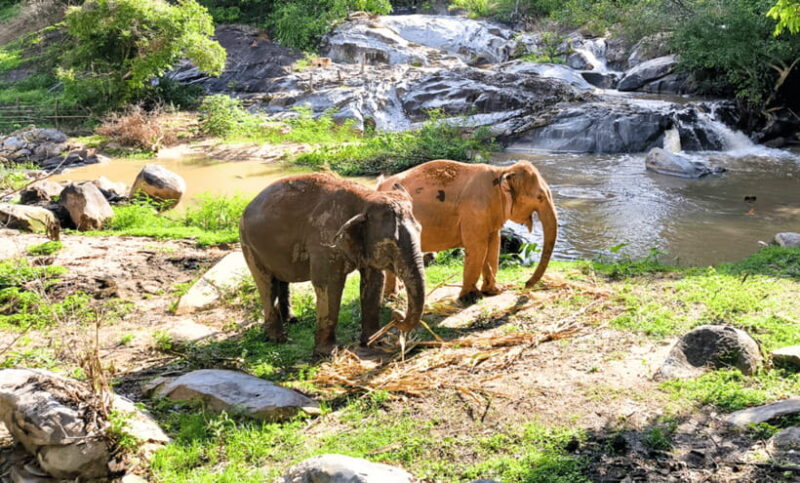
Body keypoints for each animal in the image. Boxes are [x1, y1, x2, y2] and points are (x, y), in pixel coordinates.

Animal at [239, 173, 426, 356]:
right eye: (390, 243)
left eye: (420, 230)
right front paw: (328, 353)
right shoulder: (324, 242)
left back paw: (291, 319)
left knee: (281, 279)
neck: (365, 199)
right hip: (248, 244)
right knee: (266, 283)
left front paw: (374, 342)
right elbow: (329, 284)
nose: (397, 314)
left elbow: (374, 280)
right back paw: (278, 339)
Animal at [377, 159, 557, 302]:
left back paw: (396, 294)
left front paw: (493, 291)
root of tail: (379, 186)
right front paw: (471, 298)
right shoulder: (474, 211)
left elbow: (494, 245)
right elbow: (478, 248)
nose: (525, 285)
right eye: (540, 197)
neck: (502, 171)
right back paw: (393, 297)